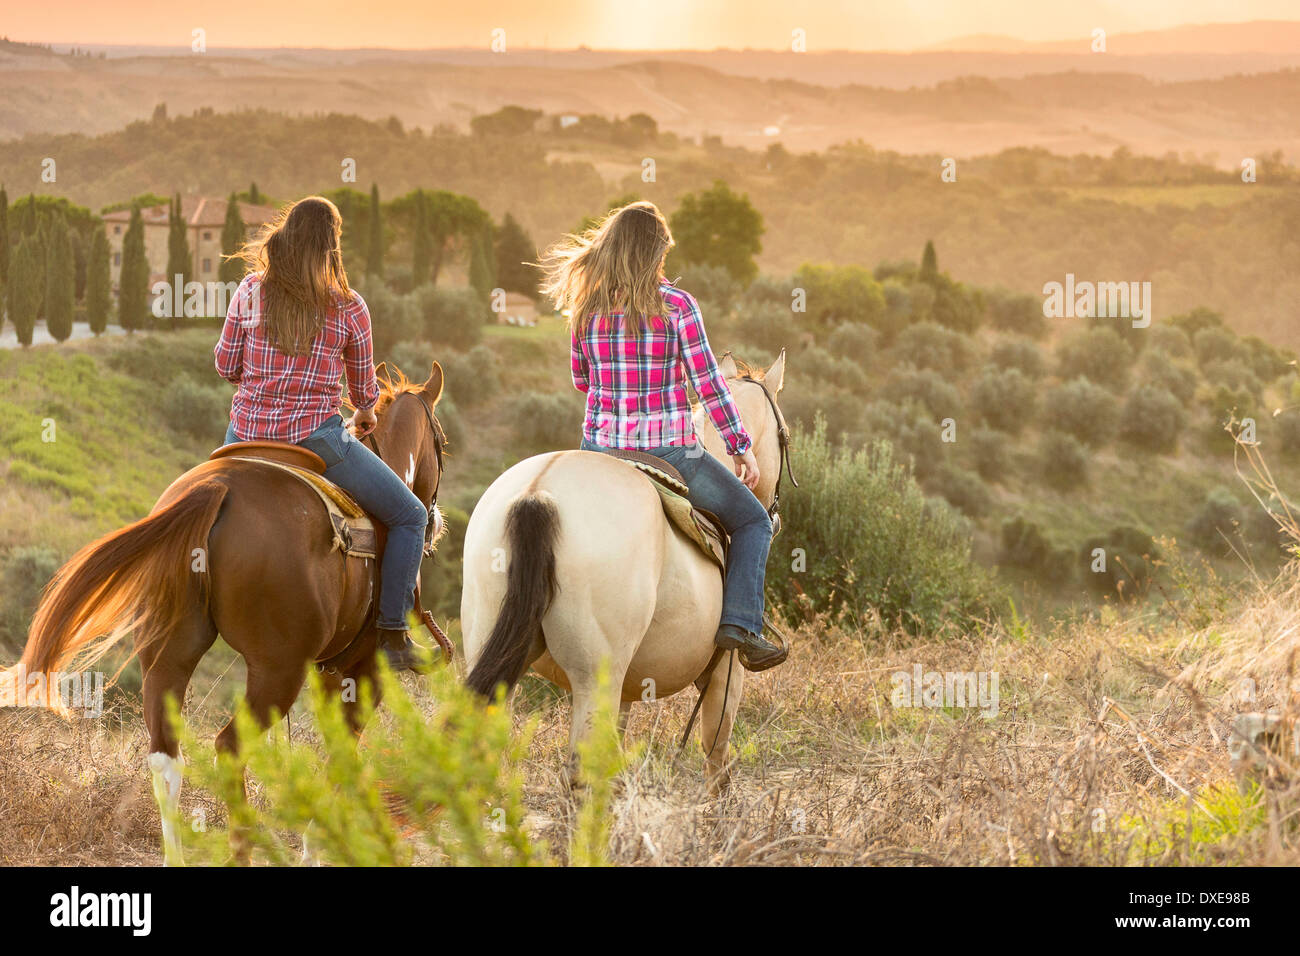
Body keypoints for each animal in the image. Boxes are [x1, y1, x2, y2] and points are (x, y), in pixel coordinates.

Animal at [0, 362, 448, 862]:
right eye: (442, 442)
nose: (435, 520)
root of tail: (217, 488)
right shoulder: (363, 671)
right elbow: (340, 755)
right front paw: (315, 847)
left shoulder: (329, 672)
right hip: (277, 670)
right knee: (229, 747)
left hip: (167, 656)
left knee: (165, 755)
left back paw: (175, 855)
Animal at [460, 351, 790, 791]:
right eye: (784, 436)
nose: (774, 516)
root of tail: (539, 493)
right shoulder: (727, 673)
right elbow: (716, 760)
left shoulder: (626, 695)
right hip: (594, 679)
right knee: (578, 775)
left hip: (493, 658)